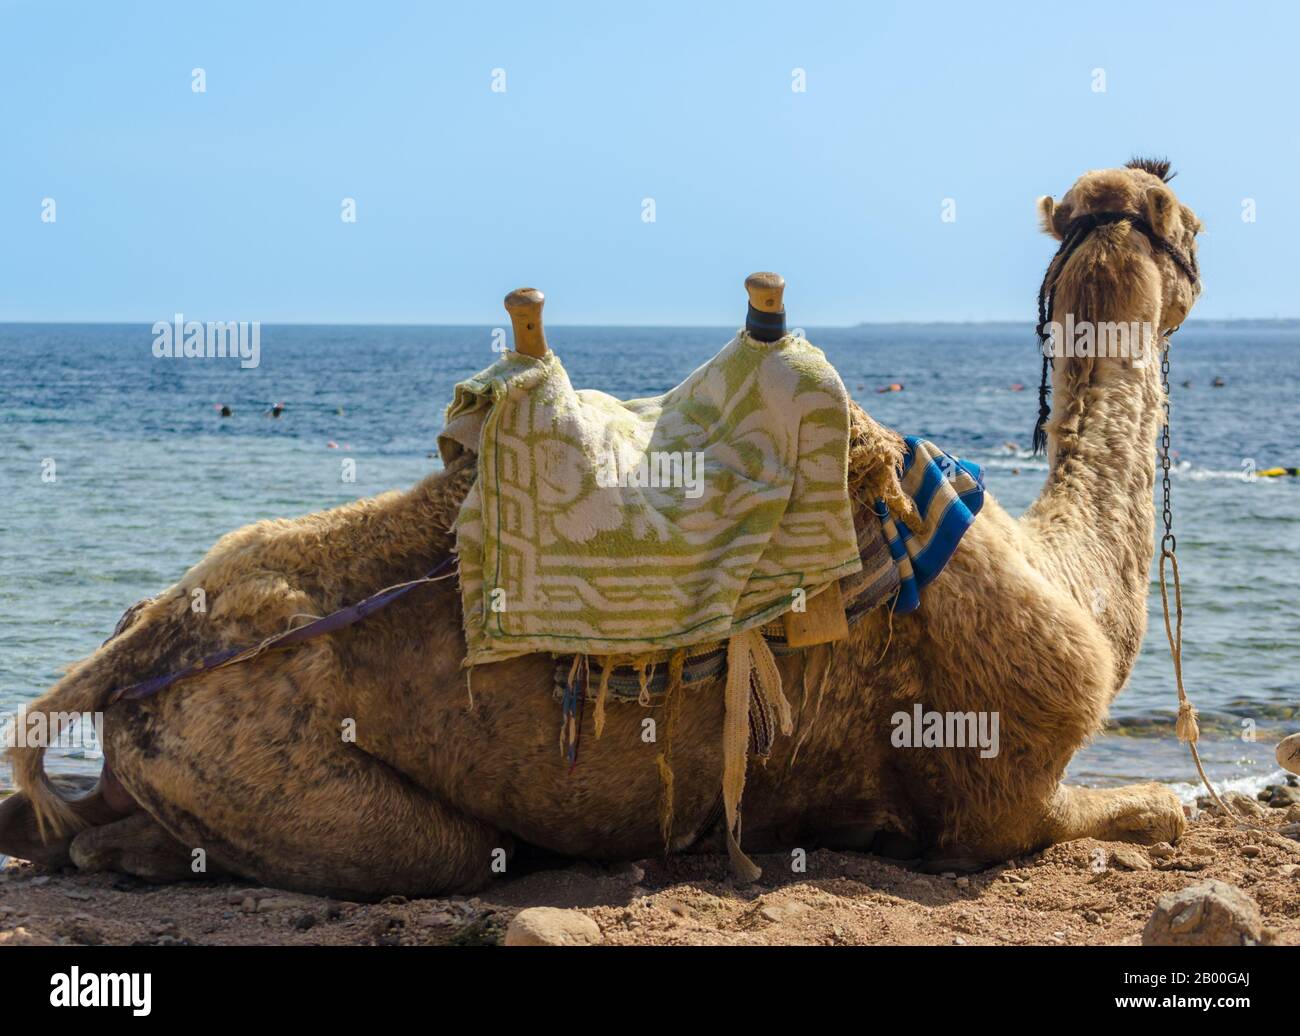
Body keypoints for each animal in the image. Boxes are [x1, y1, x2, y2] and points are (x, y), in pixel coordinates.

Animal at [1, 160, 1203, 899]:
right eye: (1186, 225)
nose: (1176, 194)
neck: (1061, 572)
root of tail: (141, 645)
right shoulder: (997, 799)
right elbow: (1157, 815)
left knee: (69, 822)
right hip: (267, 758)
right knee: (448, 848)